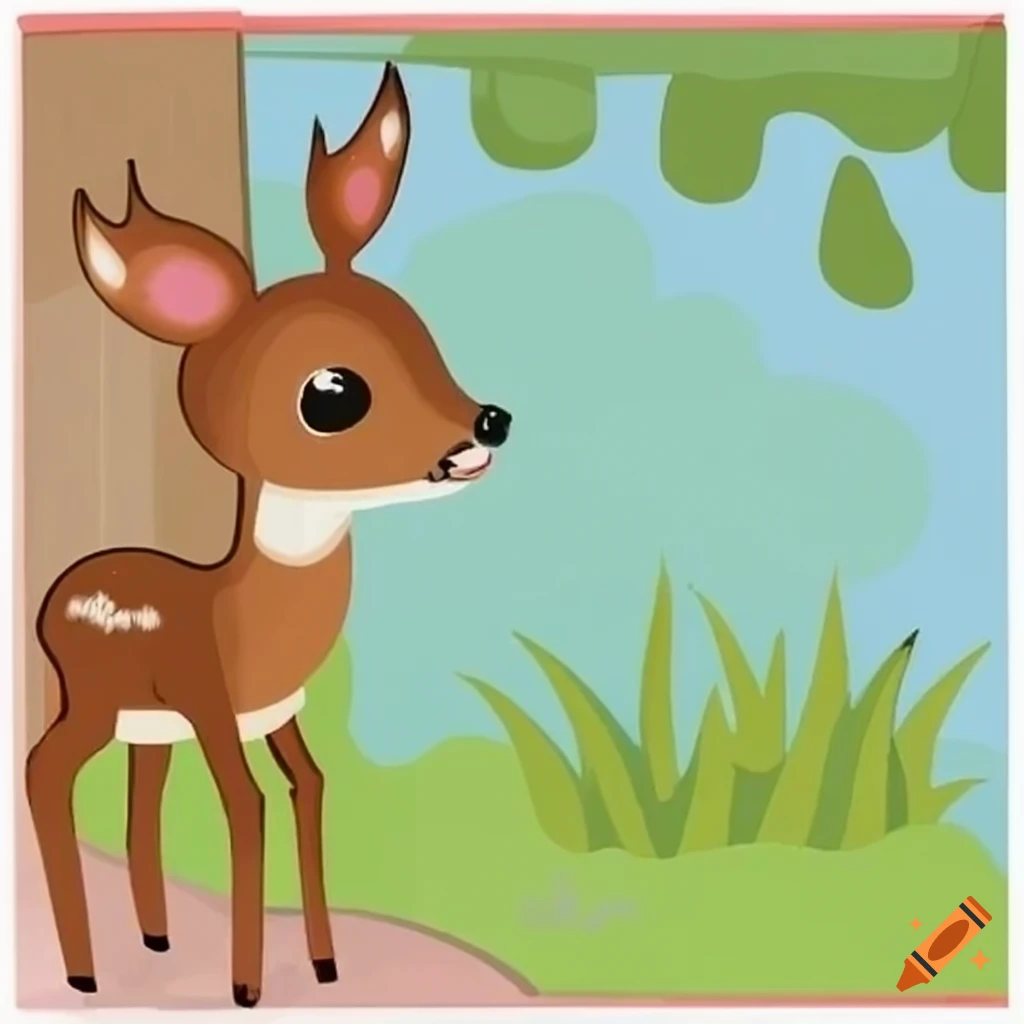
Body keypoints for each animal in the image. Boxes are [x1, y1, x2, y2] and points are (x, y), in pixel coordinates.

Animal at [25, 63, 512, 1009]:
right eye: (332, 394)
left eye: (424, 333)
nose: (487, 422)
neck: (240, 611)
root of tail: (59, 593)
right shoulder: (216, 711)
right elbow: (245, 807)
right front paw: (249, 988)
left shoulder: (278, 715)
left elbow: (310, 790)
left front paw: (323, 965)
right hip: (94, 706)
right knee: (43, 773)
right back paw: (85, 973)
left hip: (144, 726)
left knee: (137, 807)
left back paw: (155, 939)